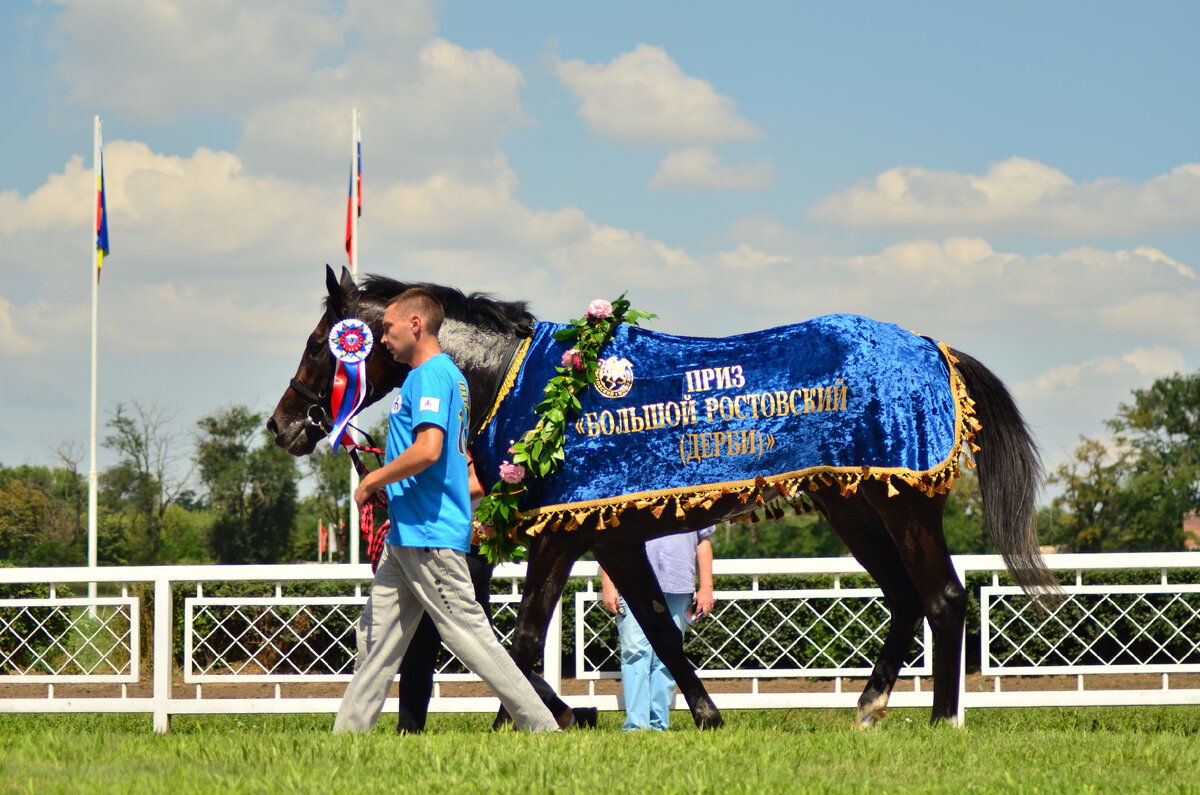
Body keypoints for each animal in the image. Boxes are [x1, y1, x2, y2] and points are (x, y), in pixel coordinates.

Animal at [267, 264, 1056, 730]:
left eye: (320, 342)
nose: (283, 425)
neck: (526, 379)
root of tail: (934, 350)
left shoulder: (581, 532)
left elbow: (541, 635)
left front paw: (535, 720)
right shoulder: (590, 534)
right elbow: (628, 627)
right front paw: (694, 714)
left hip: (904, 505)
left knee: (942, 597)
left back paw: (942, 719)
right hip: (855, 505)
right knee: (902, 598)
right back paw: (868, 707)